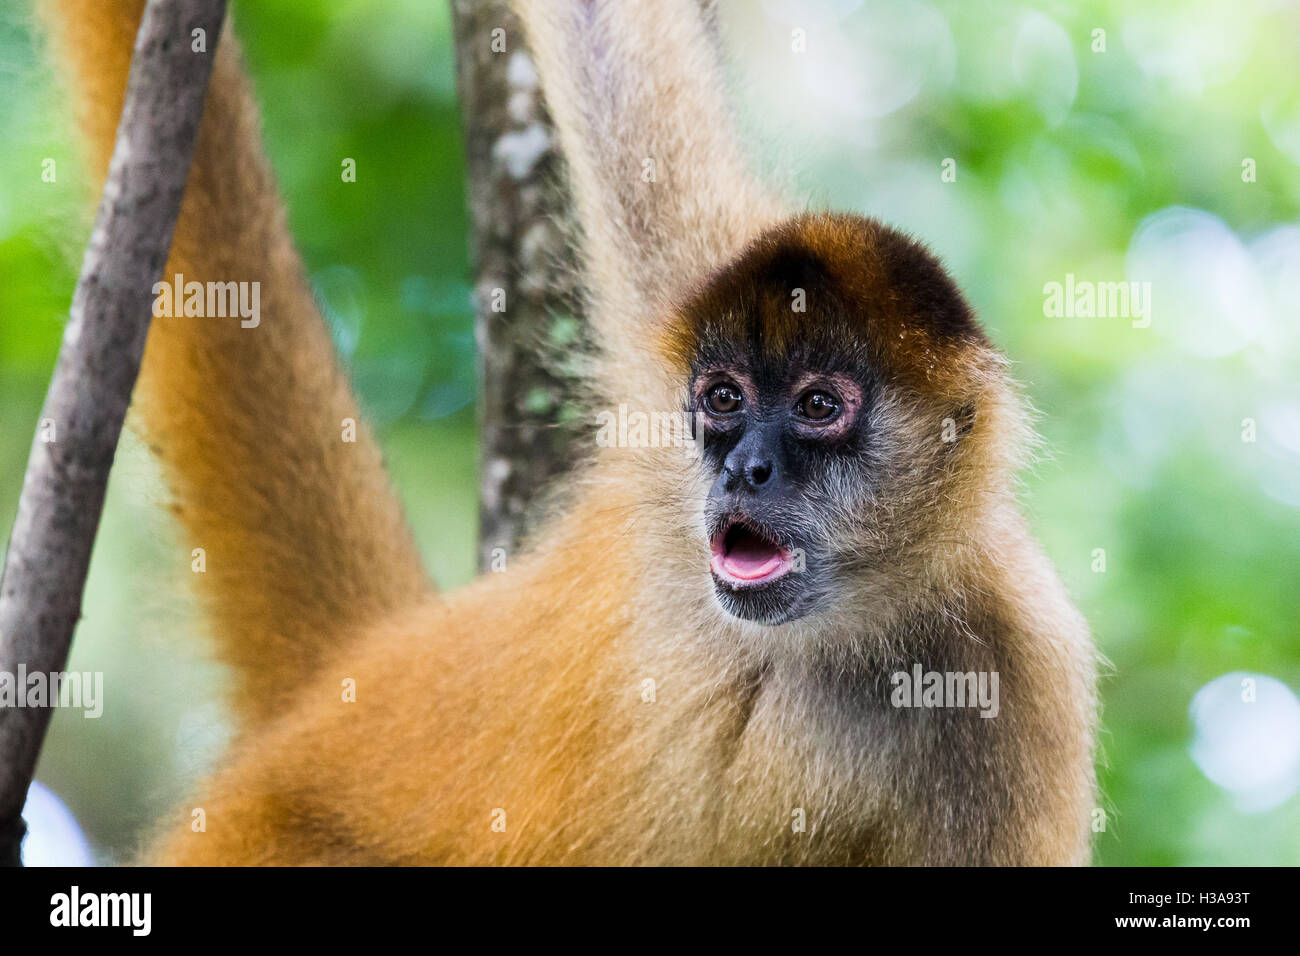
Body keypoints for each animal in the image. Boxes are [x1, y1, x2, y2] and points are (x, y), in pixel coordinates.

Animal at [38, 0, 1097, 865]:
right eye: (722, 397)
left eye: (818, 407)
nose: (745, 469)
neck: (805, 643)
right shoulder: (676, 343)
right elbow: (607, 36)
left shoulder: (1014, 678)